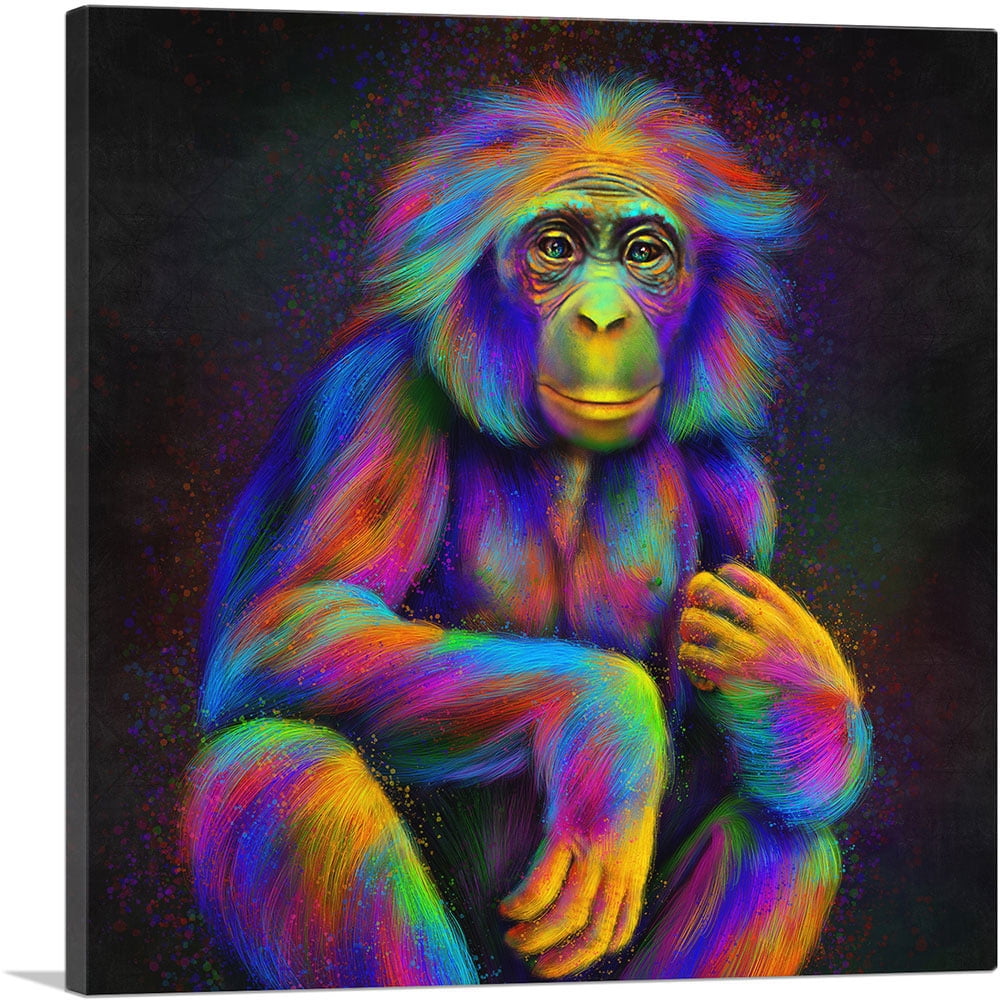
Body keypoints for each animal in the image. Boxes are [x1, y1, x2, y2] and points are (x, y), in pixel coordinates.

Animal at [183, 77, 872, 988]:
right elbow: (295, 618)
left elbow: (767, 774)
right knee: (278, 767)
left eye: (644, 253)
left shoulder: (740, 492)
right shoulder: (379, 393)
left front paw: (789, 672)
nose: (606, 317)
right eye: (556, 246)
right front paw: (609, 724)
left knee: (786, 840)